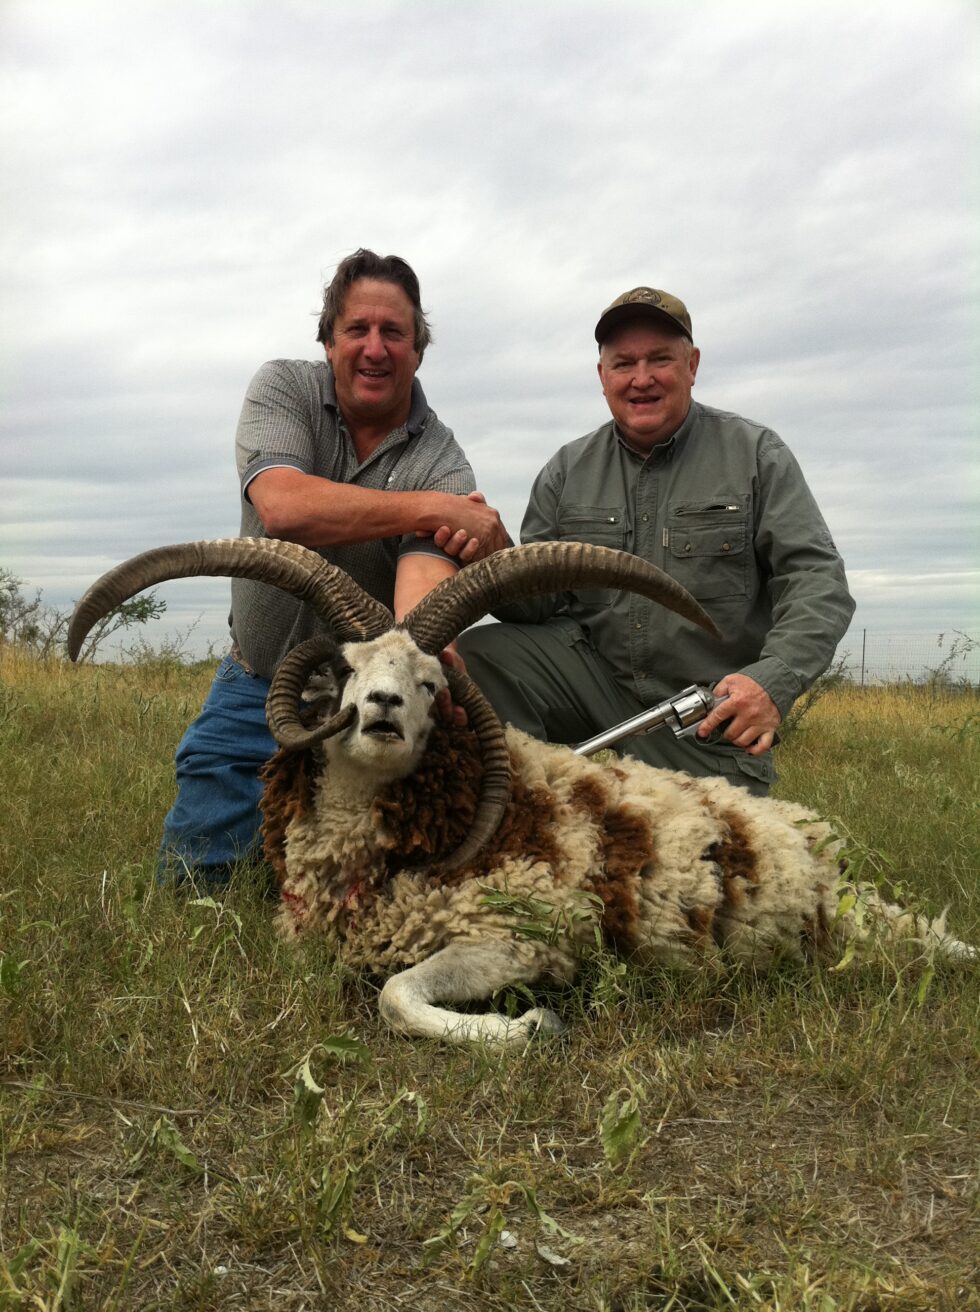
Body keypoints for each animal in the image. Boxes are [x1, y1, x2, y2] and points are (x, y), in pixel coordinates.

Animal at [69, 538, 975, 1046]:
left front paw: (530, 1027)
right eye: (350, 670)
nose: (382, 708)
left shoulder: (528, 940)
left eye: (432, 683)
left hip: (848, 920)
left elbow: (396, 996)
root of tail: (805, 832)